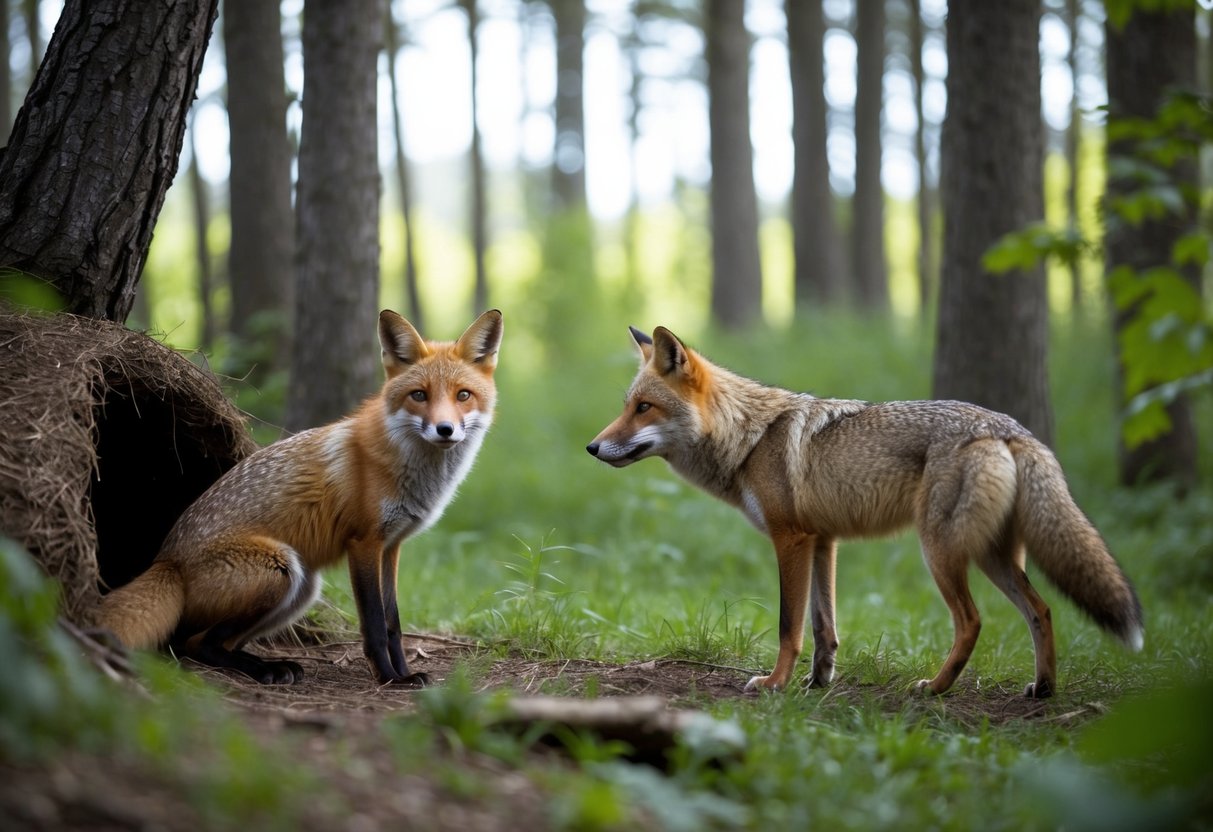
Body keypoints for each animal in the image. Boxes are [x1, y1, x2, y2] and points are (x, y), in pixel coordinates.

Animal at [95, 309, 503, 686]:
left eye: (463, 395)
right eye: (419, 395)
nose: (444, 429)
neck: (408, 467)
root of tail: (168, 559)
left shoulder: (391, 546)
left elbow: (393, 622)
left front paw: (405, 673)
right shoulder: (364, 542)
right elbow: (374, 624)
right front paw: (389, 678)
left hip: (303, 587)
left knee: (202, 643)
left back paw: (273, 666)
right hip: (281, 568)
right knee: (192, 643)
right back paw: (265, 670)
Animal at [587, 325, 1143, 698]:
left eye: (643, 408)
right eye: (626, 405)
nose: (592, 448)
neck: (748, 439)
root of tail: (1010, 428)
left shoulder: (790, 540)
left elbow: (789, 626)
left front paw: (776, 683)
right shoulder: (822, 542)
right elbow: (823, 626)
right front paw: (818, 682)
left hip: (940, 552)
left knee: (972, 622)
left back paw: (935, 688)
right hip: (993, 557)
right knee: (1042, 610)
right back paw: (1043, 689)